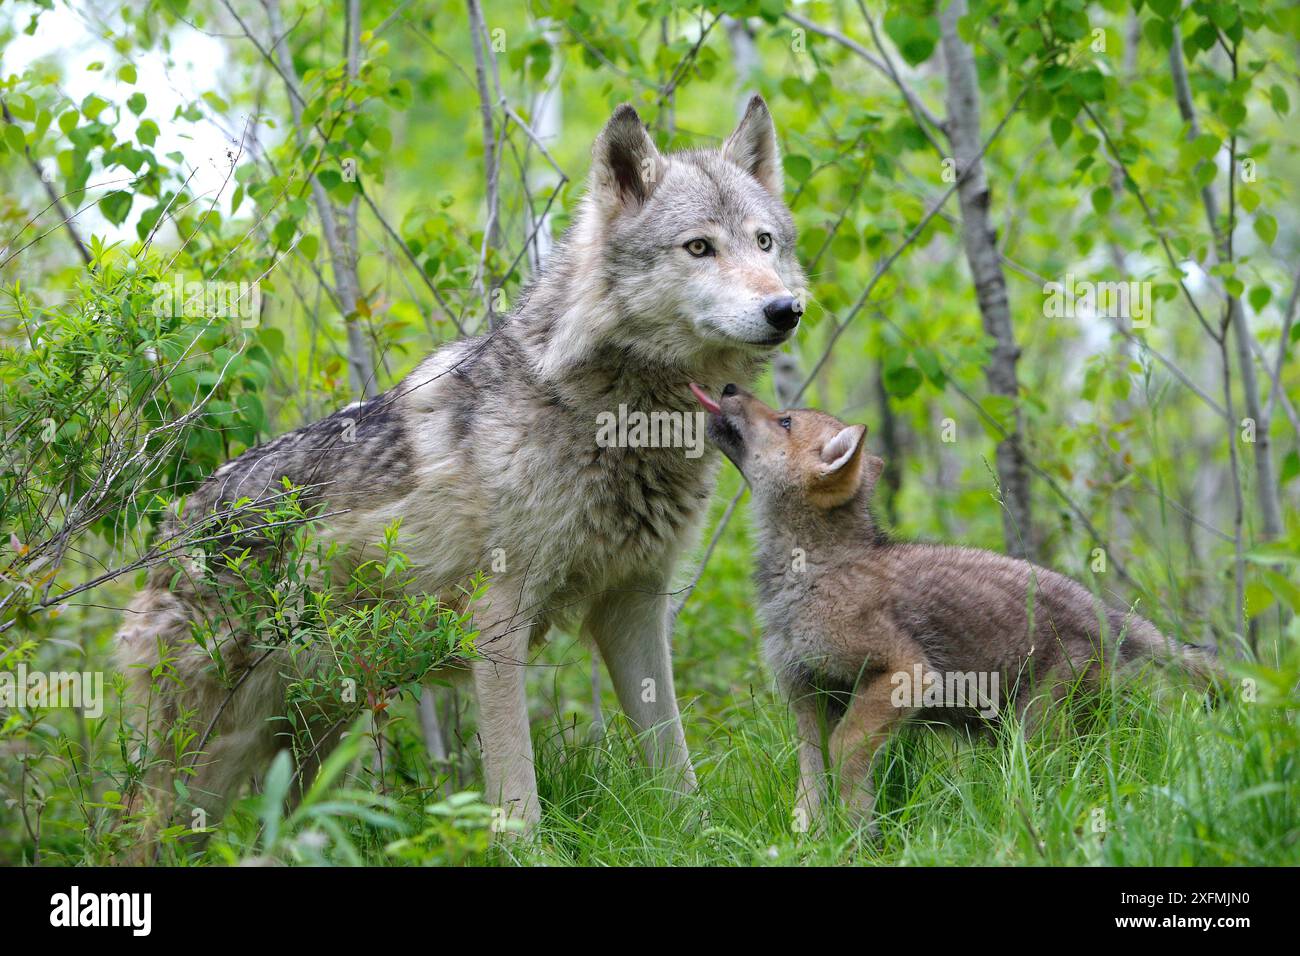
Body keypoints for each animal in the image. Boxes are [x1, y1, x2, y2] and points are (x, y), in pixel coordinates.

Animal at [116, 96, 806, 848]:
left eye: (764, 242)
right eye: (699, 247)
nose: (786, 309)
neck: (610, 413)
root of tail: (170, 528)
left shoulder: (635, 605)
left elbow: (674, 761)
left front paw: (703, 837)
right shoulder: (497, 616)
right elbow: (516, 786)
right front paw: (527, 853)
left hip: (315, 728)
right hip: (206, 760)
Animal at [692, 384, 1218, 831]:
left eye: (784, 421)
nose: (729, 387)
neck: (810, 571)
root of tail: (1105, 611)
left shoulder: (905, 672)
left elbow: (845, 758)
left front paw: (859, 839)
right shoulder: (808, 695)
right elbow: (810, 787)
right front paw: (815, 843)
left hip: (1035, 730)